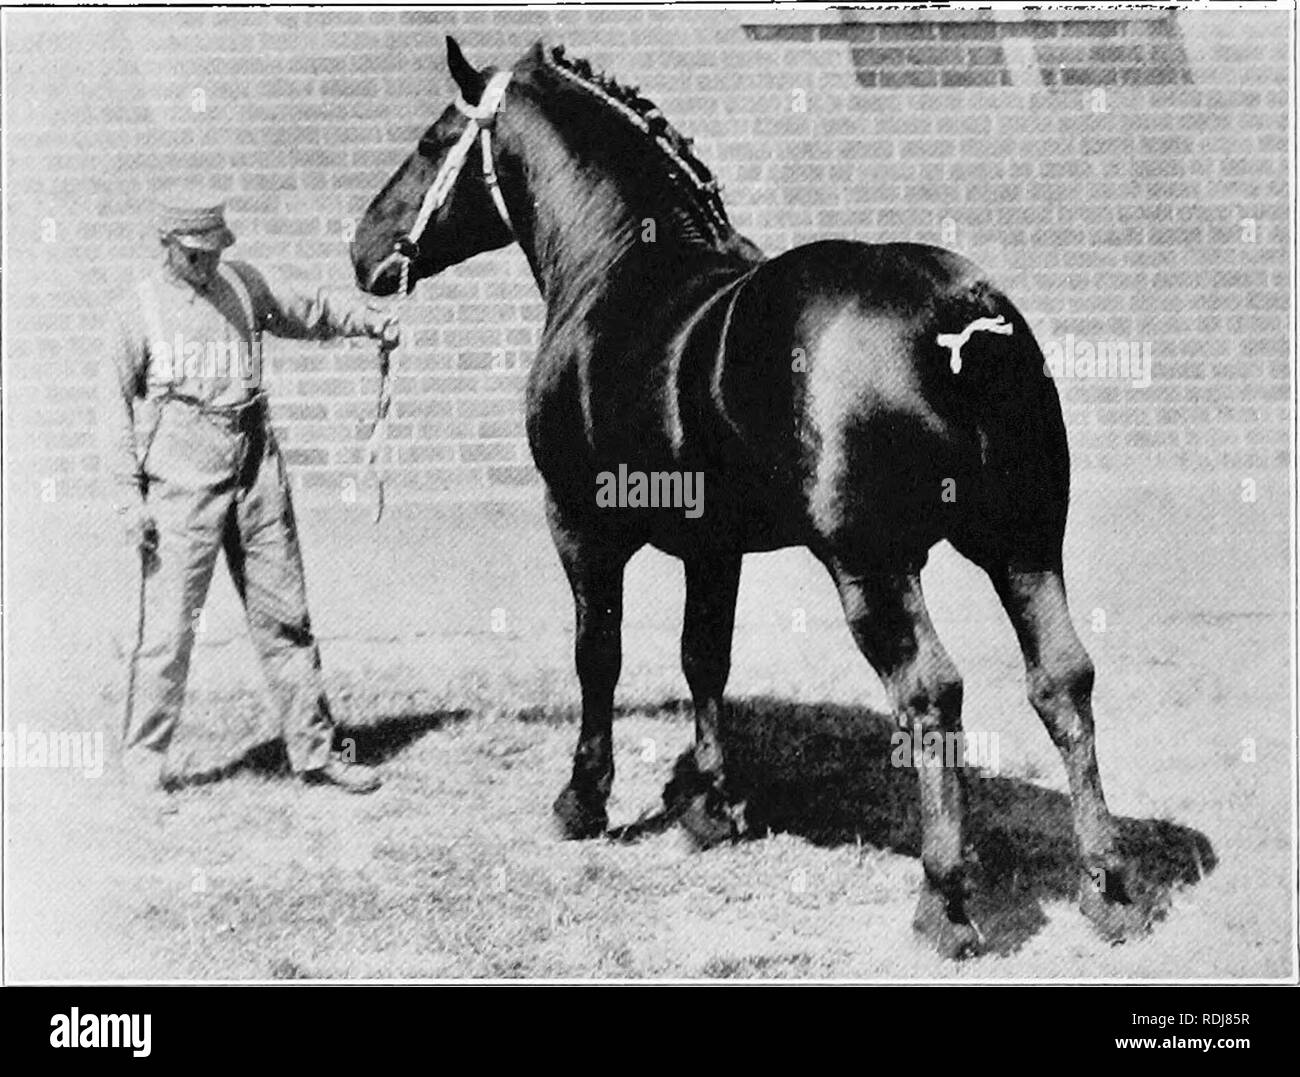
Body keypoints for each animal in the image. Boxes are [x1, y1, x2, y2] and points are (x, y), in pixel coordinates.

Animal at [350, 37, 1159, 957]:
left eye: (432, 140)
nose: (363, 251)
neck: (620, 266)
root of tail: (965, 311)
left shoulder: (580, 526)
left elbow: (600, 655)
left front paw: (583, 798)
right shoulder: (713, 545)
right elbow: (705, 657)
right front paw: (712, 803)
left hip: (875, 568)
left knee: (931, 693)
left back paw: (943, 900)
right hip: (1022, 544)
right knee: (1063, 678)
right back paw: (1109, 885)